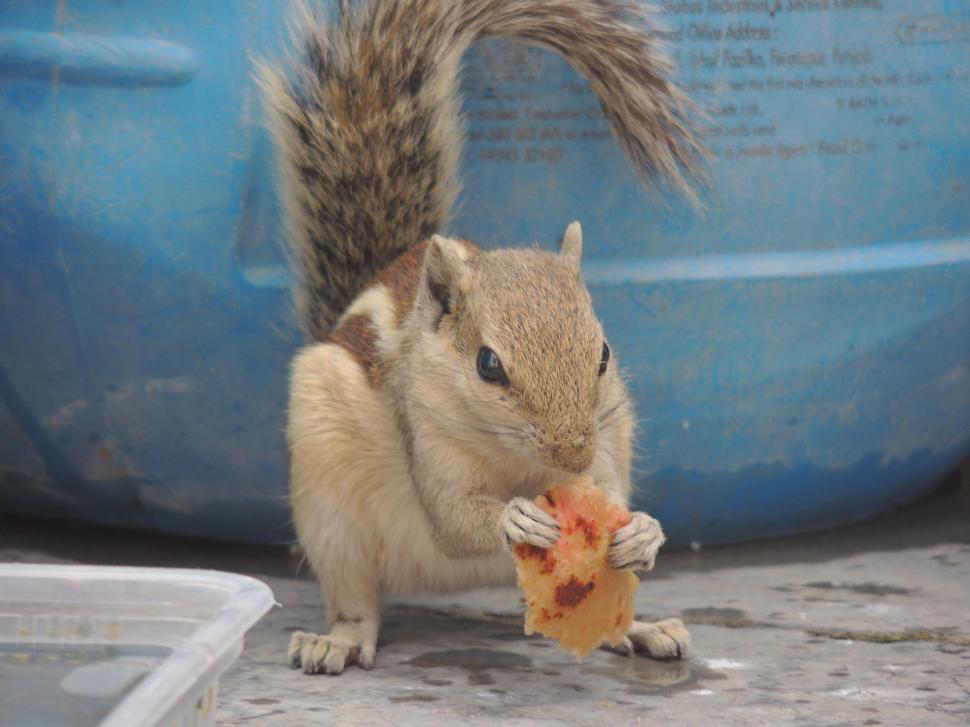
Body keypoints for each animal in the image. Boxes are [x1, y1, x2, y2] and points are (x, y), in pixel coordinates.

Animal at [260, 0, 703, 675]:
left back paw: (640, 628)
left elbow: (609, 496)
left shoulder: (605, 450)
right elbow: (454, 519)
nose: (572, 455)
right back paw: (336, 640)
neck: (517, 459)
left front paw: (643, 531)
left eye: (603, 353)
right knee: (356, 602)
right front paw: (515, 519)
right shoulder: (426, 438)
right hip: (330, 511)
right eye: (488, 365)